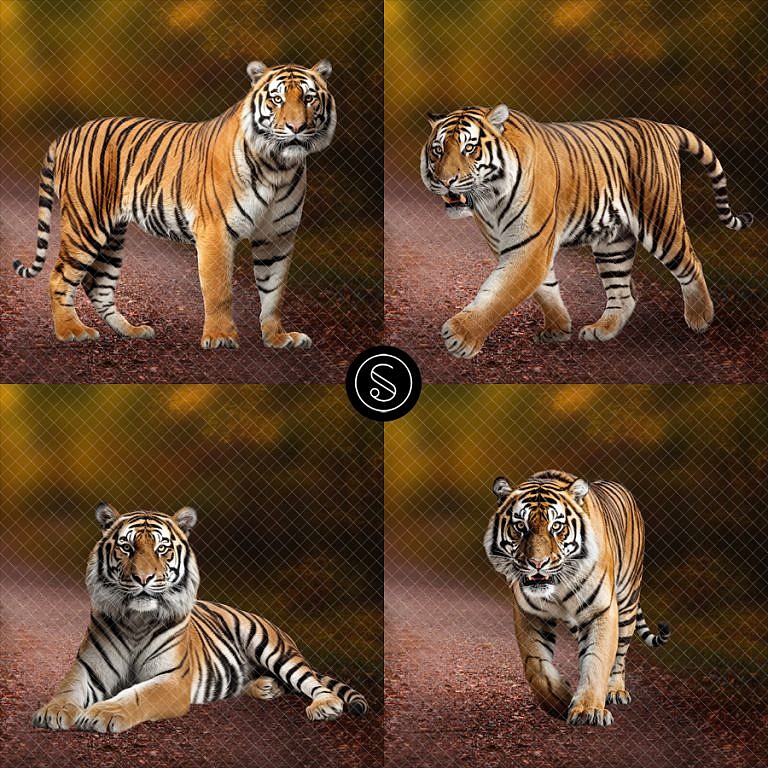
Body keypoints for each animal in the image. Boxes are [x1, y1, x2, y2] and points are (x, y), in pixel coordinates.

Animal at [13, 60, 336, 350]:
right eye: (276, 99)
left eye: (308, 98)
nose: (296, 127)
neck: (278, 168)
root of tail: (66, 135)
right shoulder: (216, 232)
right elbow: (219, 290)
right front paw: (220, 337)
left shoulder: (276, 237)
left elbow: (273, 292)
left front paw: (278, 338)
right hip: (86, 224)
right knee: (60, 277)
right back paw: (72, 331)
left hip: (112, 233)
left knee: (98, 286)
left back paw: (132, 331)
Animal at [31, 504, 368, 733]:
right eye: (126, 547)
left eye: (162, 548)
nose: (143, 578)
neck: (137, 620)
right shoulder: (87, 669)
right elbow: (67, 691)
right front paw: (52, 712)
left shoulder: (170, 680)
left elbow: (135, 695)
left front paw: (104, 713)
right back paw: (264, 687)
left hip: (272, 648)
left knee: (311, 681)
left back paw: (324, 705)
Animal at [421, 106, 754, 358]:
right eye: (438, 151)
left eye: (469, 148)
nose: (447, 181)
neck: (489, 201)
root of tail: (660, 126)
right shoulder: (515, 245)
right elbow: (544, 288)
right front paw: (558, 329)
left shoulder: (529, 245)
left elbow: (500, 290)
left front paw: (461, 336)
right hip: (613, 242)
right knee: (624, 293)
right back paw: (602, 329)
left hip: (660, 220)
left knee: (691, 263)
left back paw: (700, 318)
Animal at [484, 470, 669, 726]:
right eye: (520, 526)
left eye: (556, 526)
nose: (537, 563)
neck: (558, 584)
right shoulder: (529, 614)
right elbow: (536, 664)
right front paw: (559, 700)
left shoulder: (601, 611)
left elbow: (597, 660)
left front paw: (587, 710)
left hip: (627, 601)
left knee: (620, 653)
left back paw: (615, 690)